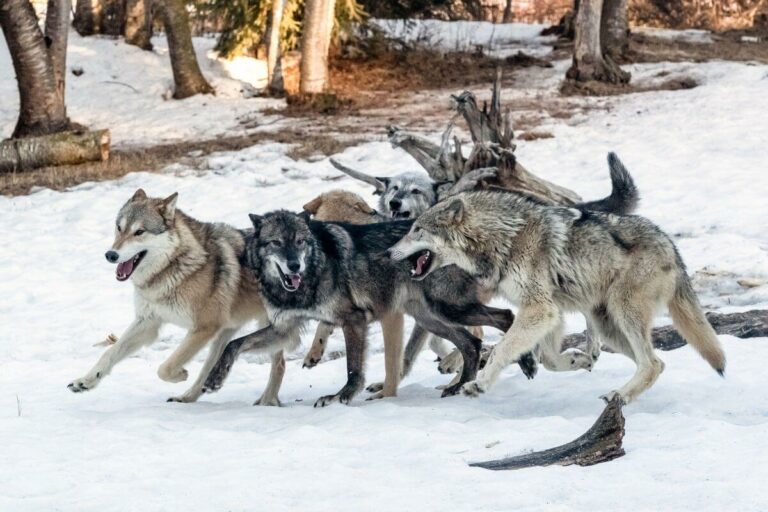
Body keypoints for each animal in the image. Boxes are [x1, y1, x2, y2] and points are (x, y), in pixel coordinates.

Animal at [67, 189, 270, 404]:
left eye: (139, 232)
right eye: (119, 228)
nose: (110, 255)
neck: (174, 268)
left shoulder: (204, 327)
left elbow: (165, 368)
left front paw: (181, 374)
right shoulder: (148, 322)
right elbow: (109, 352)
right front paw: (85, 381)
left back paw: (267, 401)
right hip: (226, 334)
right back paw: (187, 397)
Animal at [201, 210, 520, 406]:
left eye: (301, 242)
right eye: (276, 243)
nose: (294, 266)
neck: (312, 271)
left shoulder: (353, 320)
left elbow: (353, 367)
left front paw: (339, 396)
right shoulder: (284, 330)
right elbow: (233, 344)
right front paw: (214, 379)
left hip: (450, 309)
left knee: (505, 318)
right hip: (432, 318)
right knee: (472, 344)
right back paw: (457, 386)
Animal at [389, 155, 726, 404]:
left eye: (416, 230)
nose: (389, 252)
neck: (506, 238)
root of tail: (671, 245)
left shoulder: (540, 309)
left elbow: (501, 349)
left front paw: (479, 385)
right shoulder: (550, 312)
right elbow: (550, 359)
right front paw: (577, 361)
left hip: (624, 312)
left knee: (653, 363)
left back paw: (619, 395)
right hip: (609, 324)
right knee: (657, 362)